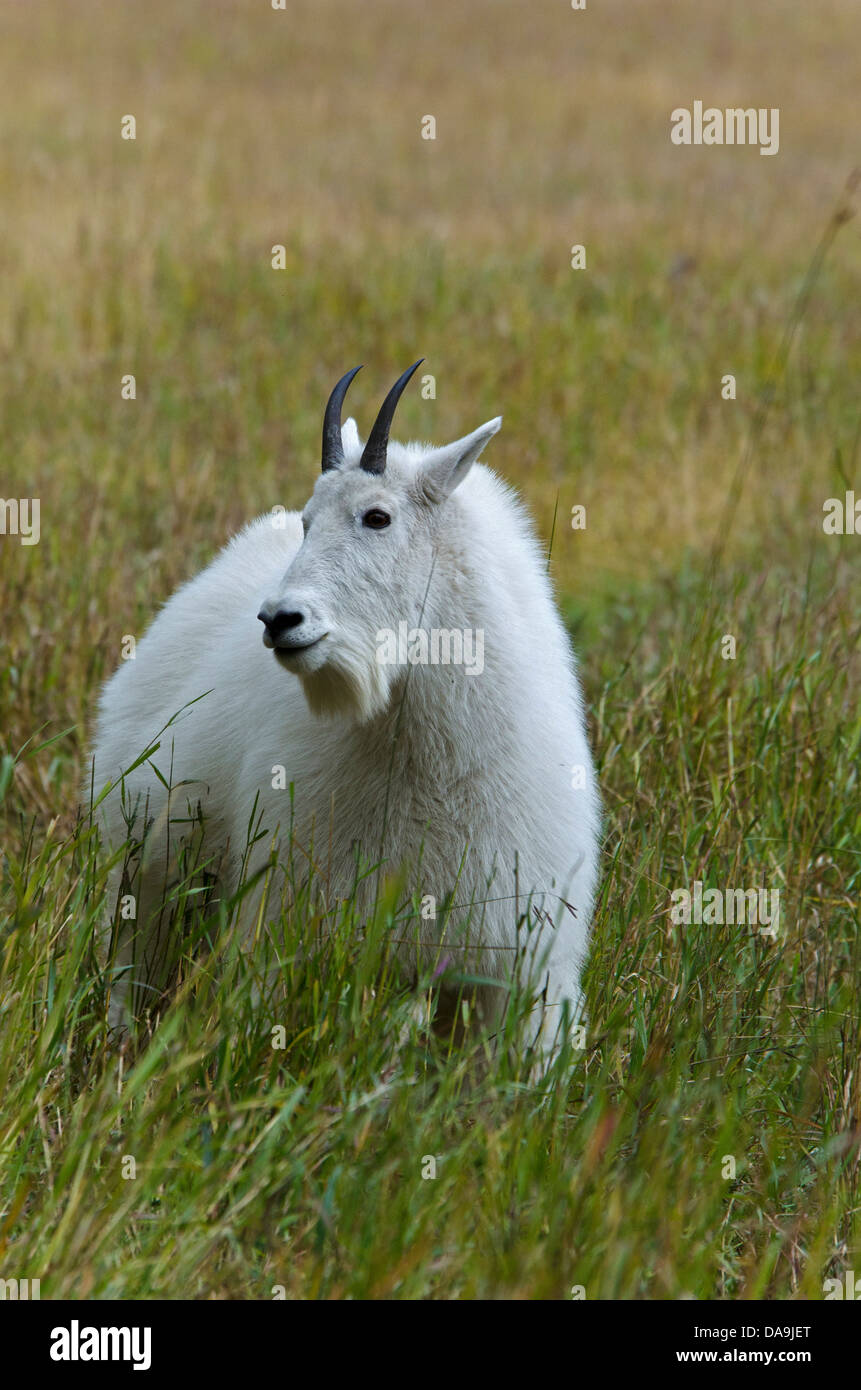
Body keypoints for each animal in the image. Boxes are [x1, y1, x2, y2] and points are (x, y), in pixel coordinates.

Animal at [88, 361, 601, 1064]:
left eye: (377, 516)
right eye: (308, 522)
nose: (279, 620)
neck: (428, 762)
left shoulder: (513, 966)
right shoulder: (291, 921)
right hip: (147, 868)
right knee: (130, 970)